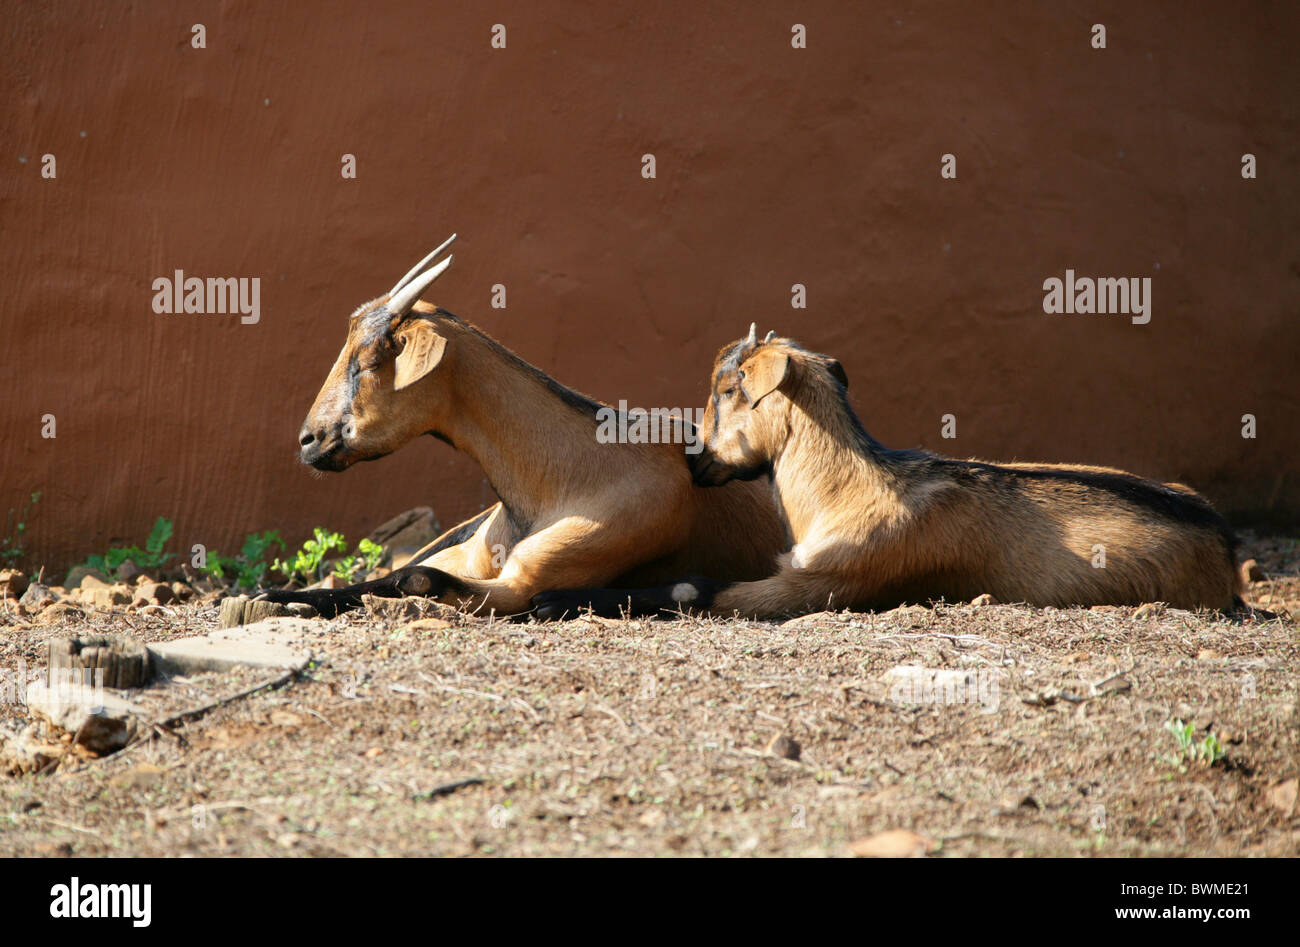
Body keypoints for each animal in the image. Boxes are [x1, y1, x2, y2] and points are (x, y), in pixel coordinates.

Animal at [260, 240, 788, 617]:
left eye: (370, 360)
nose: (309, 440)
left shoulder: (523, 581)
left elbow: (417, 578)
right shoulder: (468, 554)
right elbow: (399, 571)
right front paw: (275, 597)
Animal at [532, 324, 1242, 619]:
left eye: (726, 390)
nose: (694, 458)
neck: (849, 489)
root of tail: (1221, 537)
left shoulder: (823, 583)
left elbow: (696, 587)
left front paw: (550, 600)